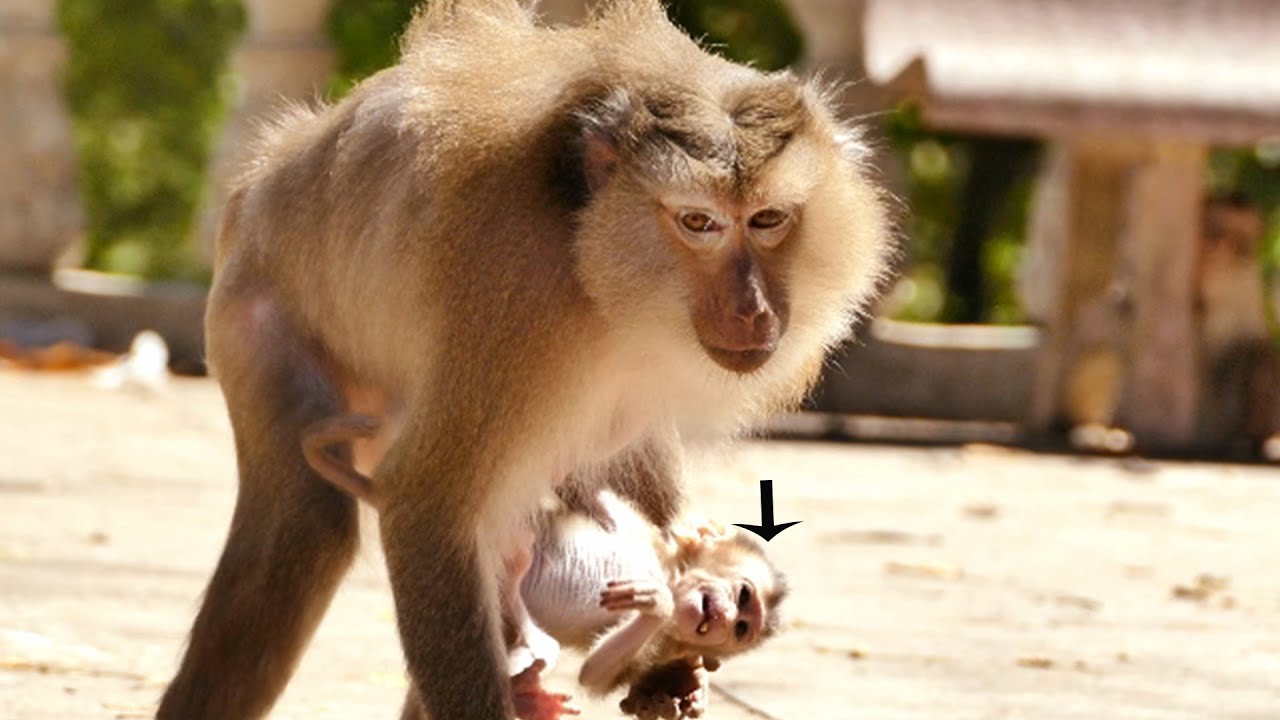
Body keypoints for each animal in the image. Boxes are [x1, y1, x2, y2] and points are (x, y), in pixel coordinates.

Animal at [302, 413, 788, 720]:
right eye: (744, 596)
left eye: (741, 629)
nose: (724, 618)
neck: (666, 569)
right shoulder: (631, 525)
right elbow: (591, 490)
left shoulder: (659, 645)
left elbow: (597, 671)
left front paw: (657, 604)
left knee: (534, 635)